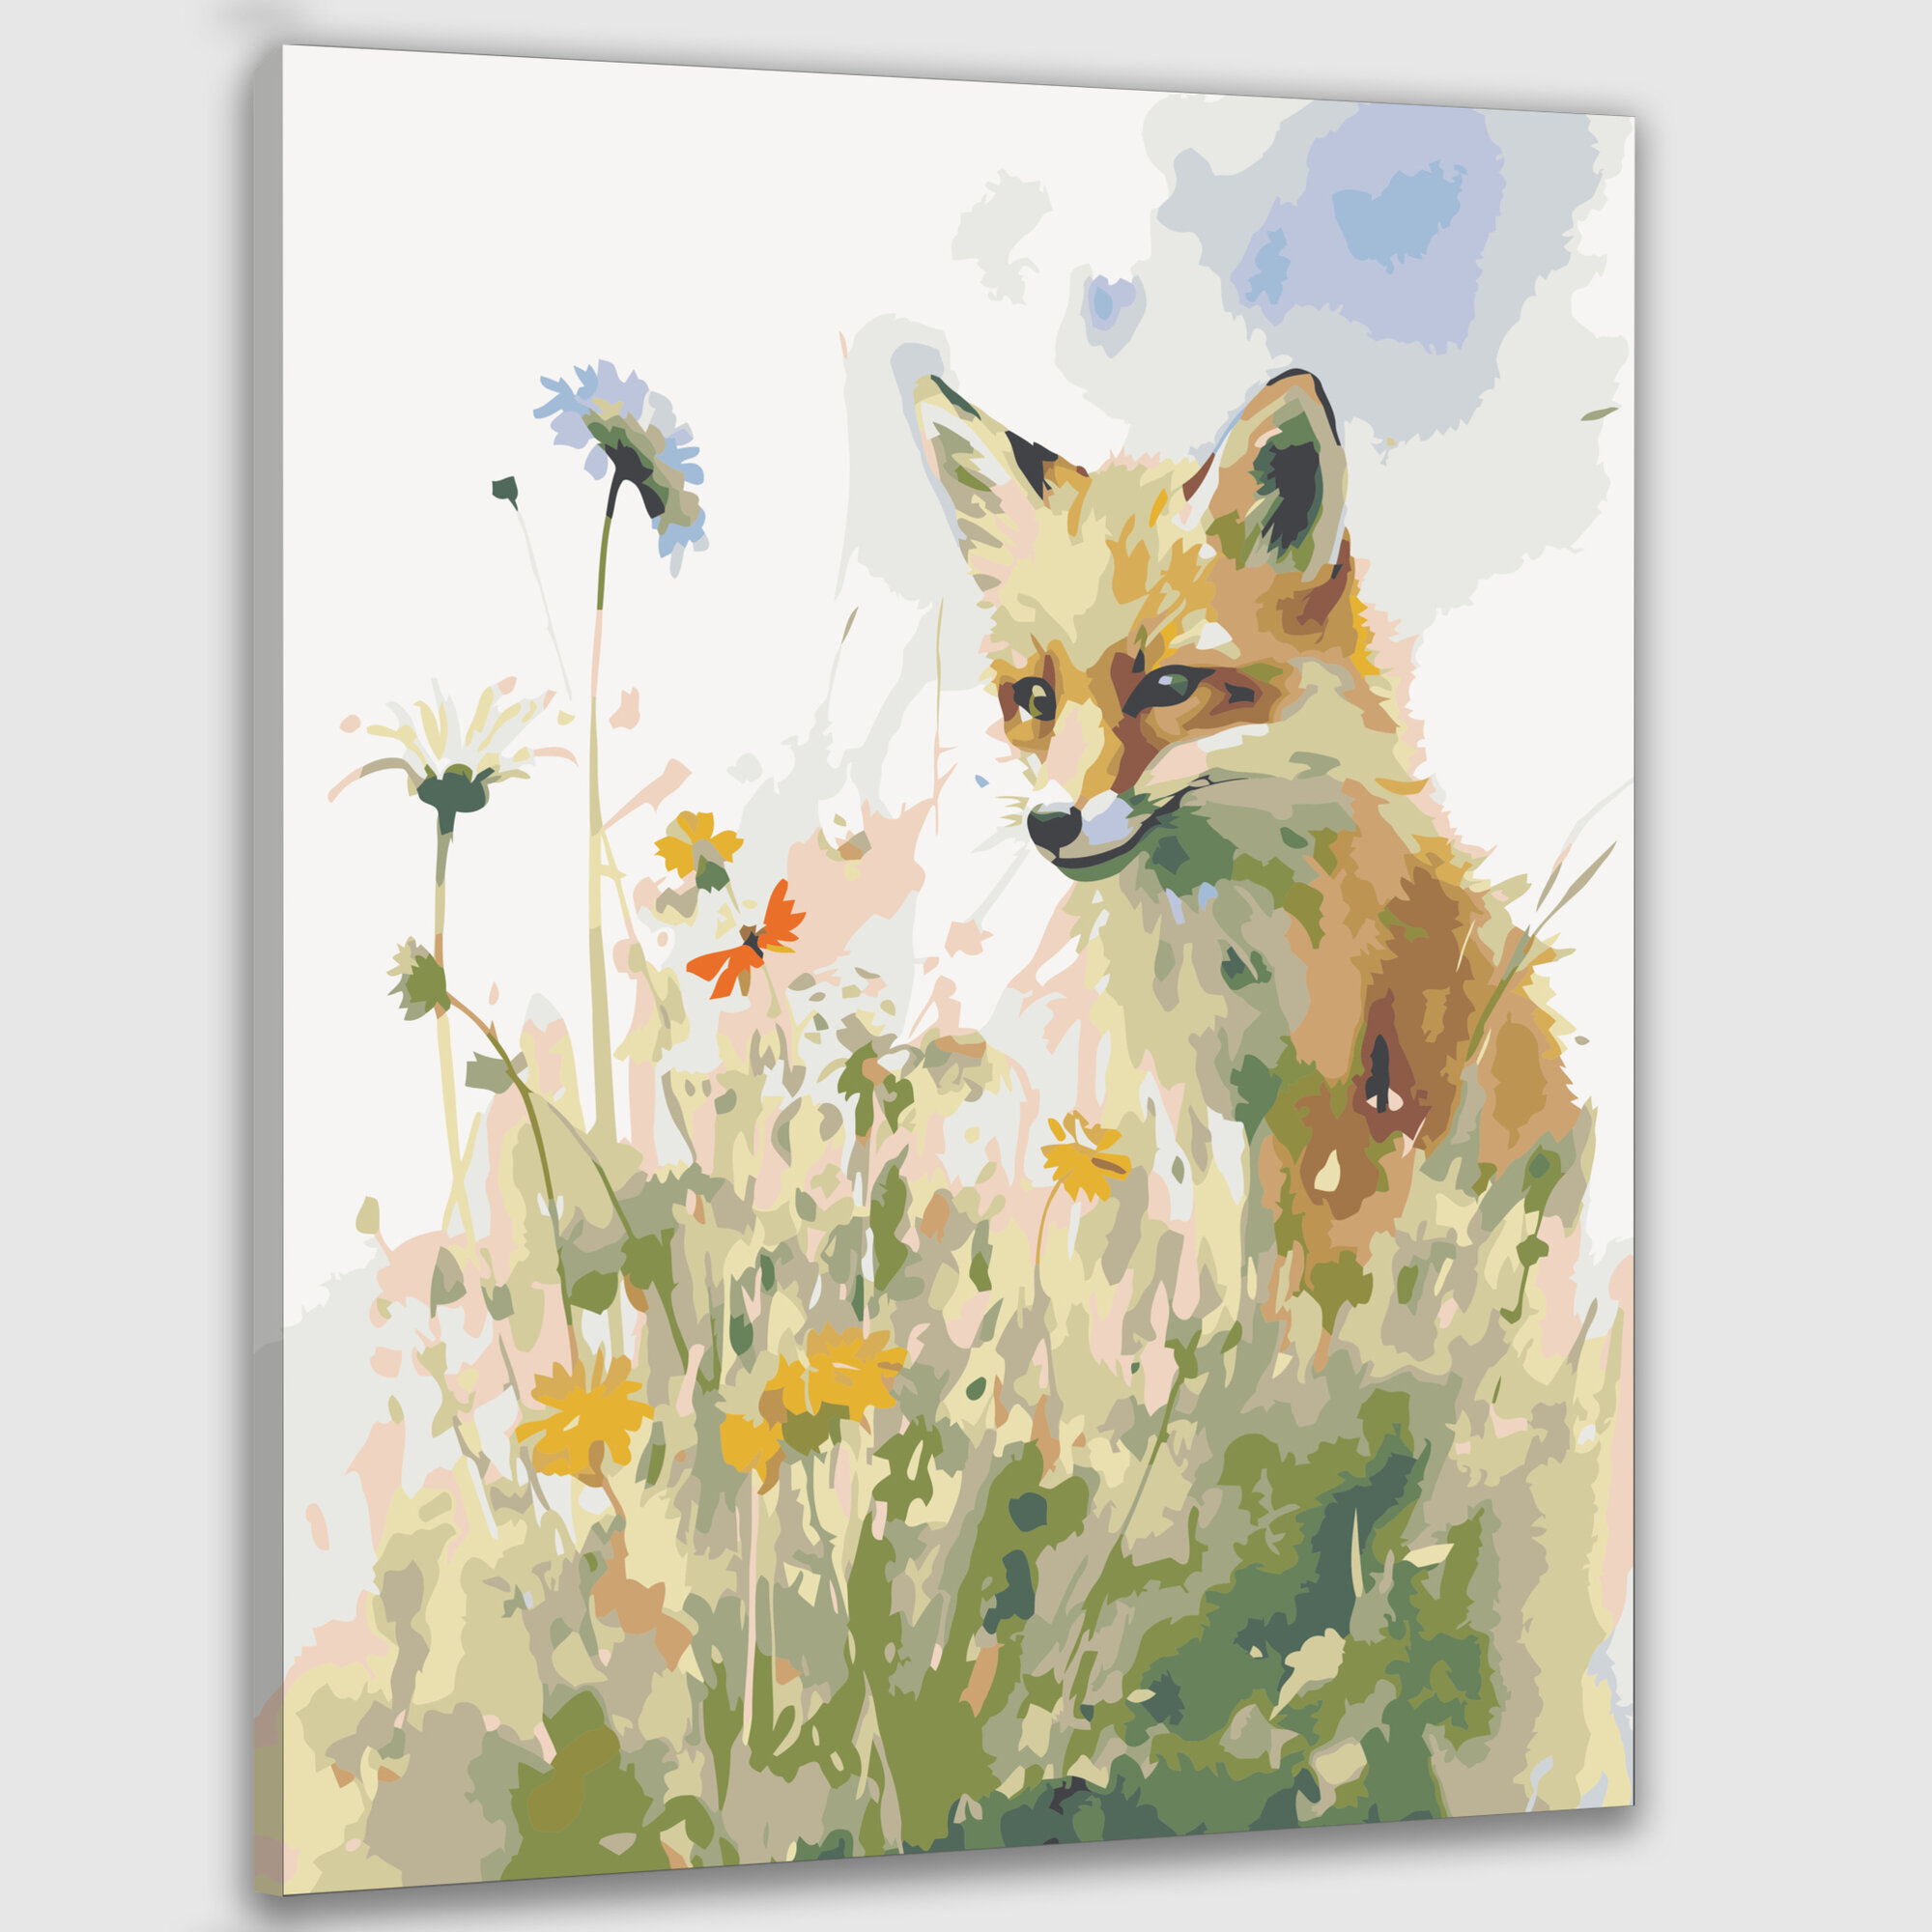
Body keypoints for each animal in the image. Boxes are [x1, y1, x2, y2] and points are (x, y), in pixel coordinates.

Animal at [912, 368, 1585, 1371]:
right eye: (1034, 698)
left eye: (1166, 686)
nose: (1049, 824)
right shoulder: (1163, 1131)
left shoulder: (1326, 1133)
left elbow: (1301, 1321)